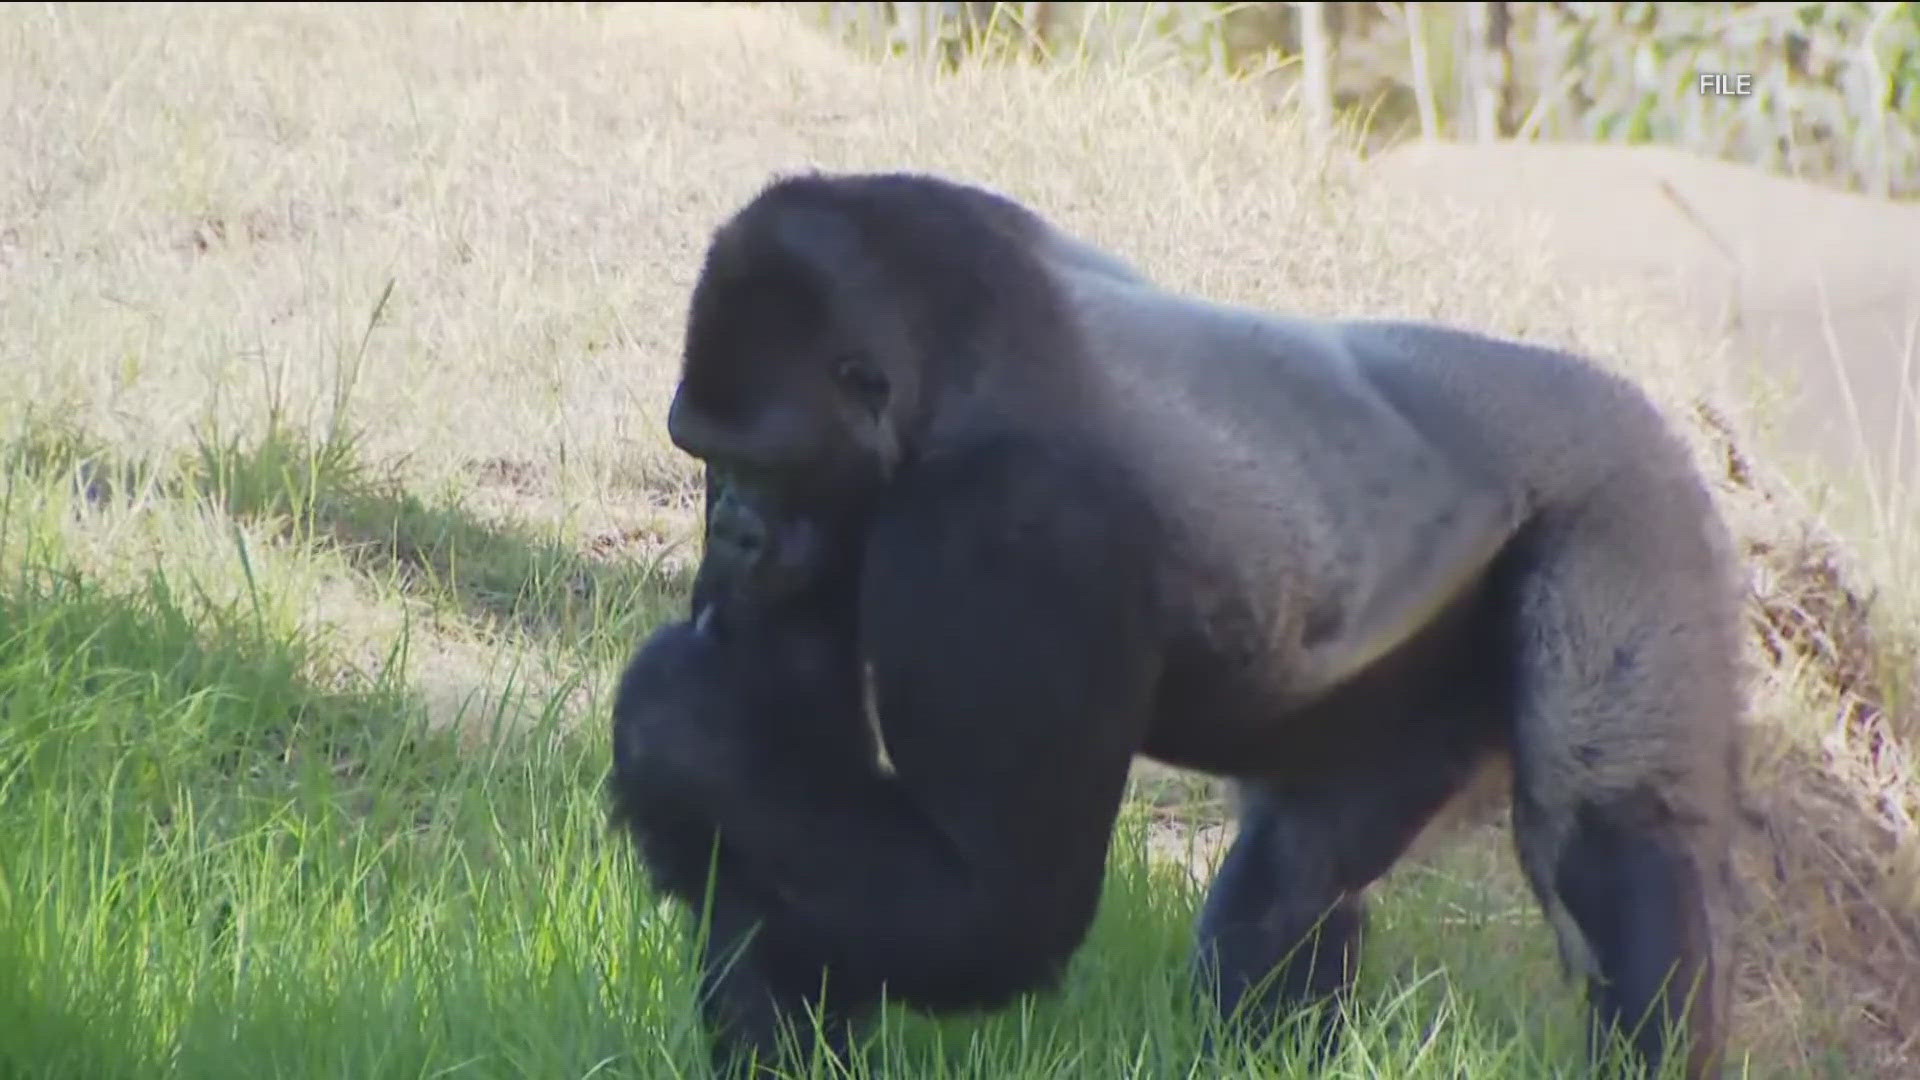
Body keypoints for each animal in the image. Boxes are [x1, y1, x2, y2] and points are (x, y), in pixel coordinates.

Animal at [610, 170, 1745, 1079]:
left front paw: (673, 725)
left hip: (1628, 494)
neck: (939, 371)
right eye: (706, 455)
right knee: (1299, 869)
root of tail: (1624, 392)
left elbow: (999, 902)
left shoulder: (1012, 521)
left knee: (1610, 840)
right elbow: (770, 803)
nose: (736, 532)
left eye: (770, 463)